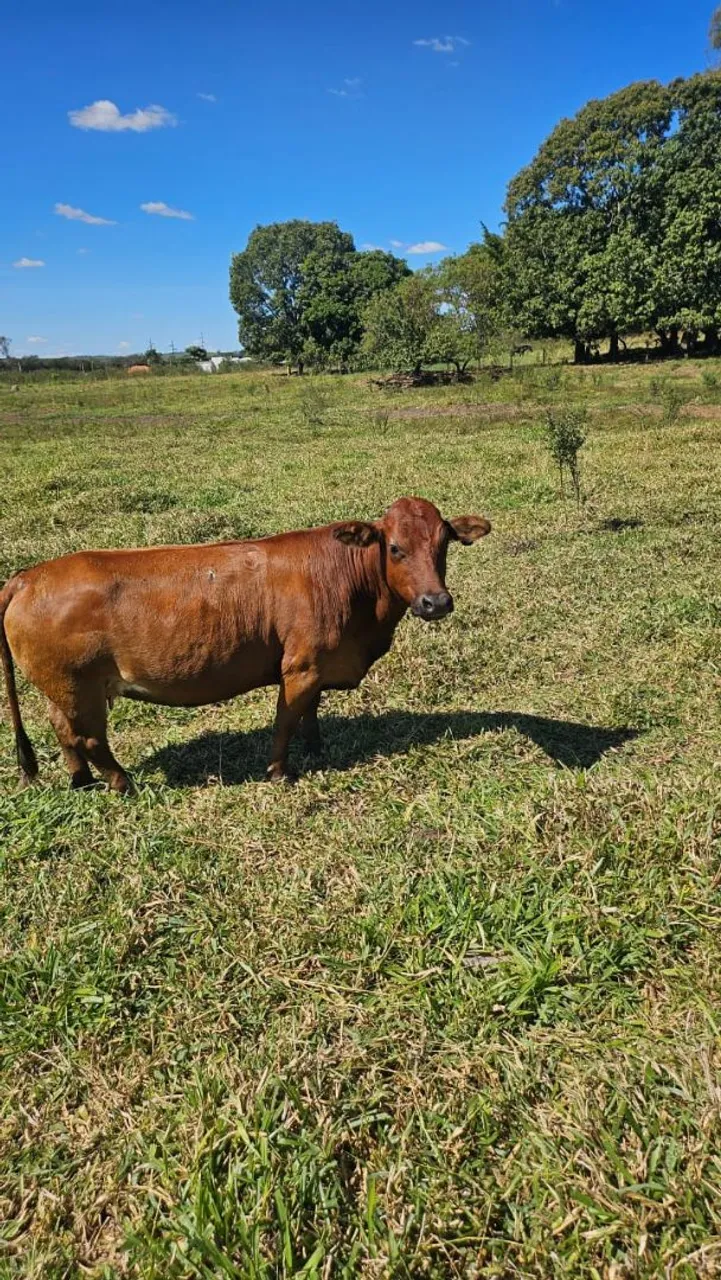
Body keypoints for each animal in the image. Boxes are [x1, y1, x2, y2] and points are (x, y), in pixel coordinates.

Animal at [0, 497, 491, 792]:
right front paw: (279, 772)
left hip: (63, 688)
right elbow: (285, 721)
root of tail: (30, 575)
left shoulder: (317, 667)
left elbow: (310, 715)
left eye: (444, 543)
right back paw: (122, 784)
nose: (435, 602)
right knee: (87, 737)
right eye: (394, 548)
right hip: (78, 686)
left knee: (63, 730)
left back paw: (82, 781)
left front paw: (318, 749)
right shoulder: (301, 667)